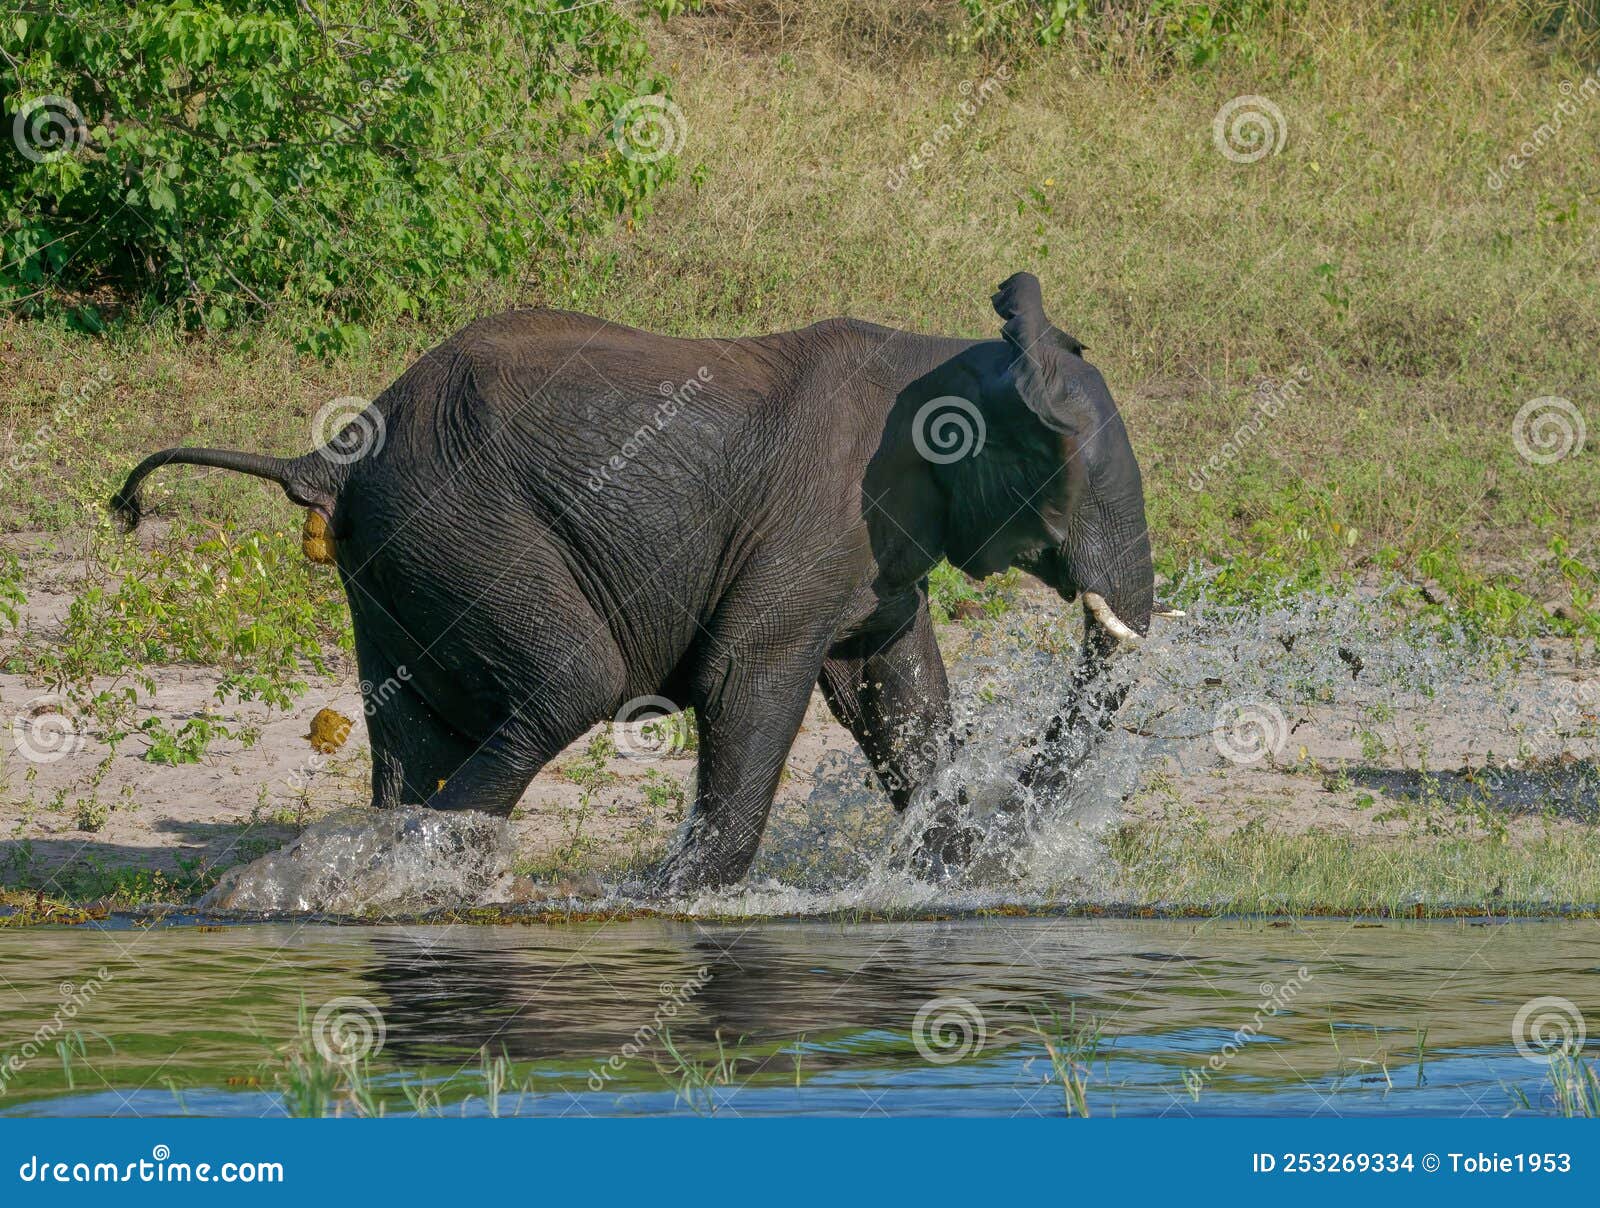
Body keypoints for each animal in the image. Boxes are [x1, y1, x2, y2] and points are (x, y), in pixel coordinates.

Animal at [112, 271, 1154, 891]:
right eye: (1067, 476)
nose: (1015, 827)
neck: (951, 359)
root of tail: (338, 451)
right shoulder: (817, 519)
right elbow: (750, 676)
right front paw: (678, 898)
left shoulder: (883, 546)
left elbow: (896, 694)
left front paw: (954, 877)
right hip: (467, 527)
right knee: (572, 682)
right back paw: (430, 865)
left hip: (398, 558)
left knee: (412, 721)